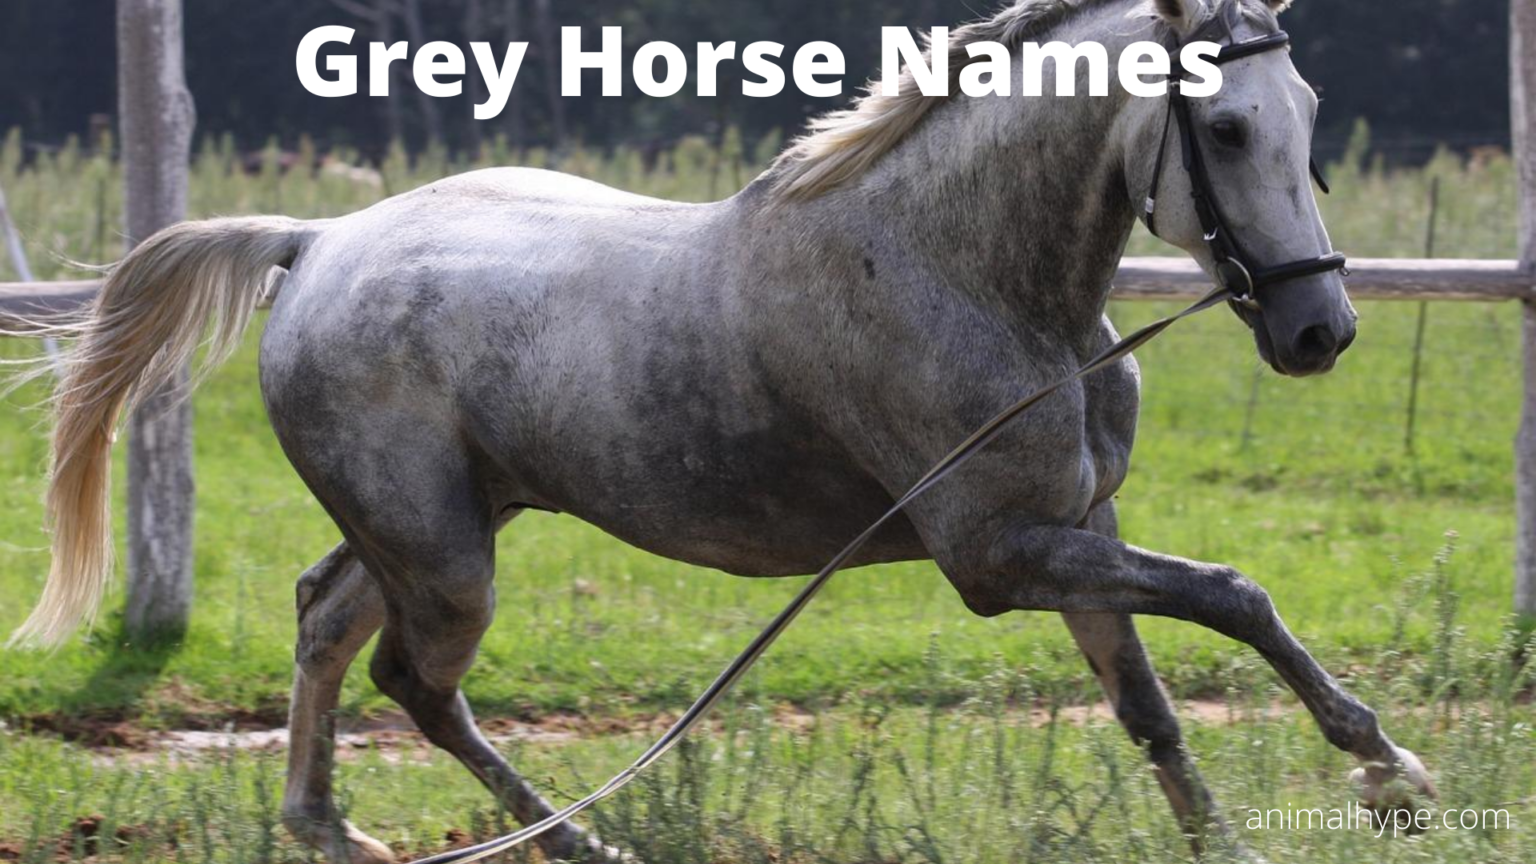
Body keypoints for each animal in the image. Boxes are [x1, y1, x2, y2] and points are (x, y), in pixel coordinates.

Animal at [10, 0, 1436, 860]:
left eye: (1310, 119)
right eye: (1231, 124)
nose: (1321, 331)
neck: (965, 272)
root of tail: (315, 244)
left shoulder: (1081, 527)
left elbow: (1150, 709)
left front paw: (1234, 833)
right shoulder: (996, 556)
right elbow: (1236, 594)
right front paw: (1389, 769)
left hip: (437, 526)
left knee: (323, 618)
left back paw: (334, 829)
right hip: (449, 559)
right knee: (413, 680)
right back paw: (575, 840)